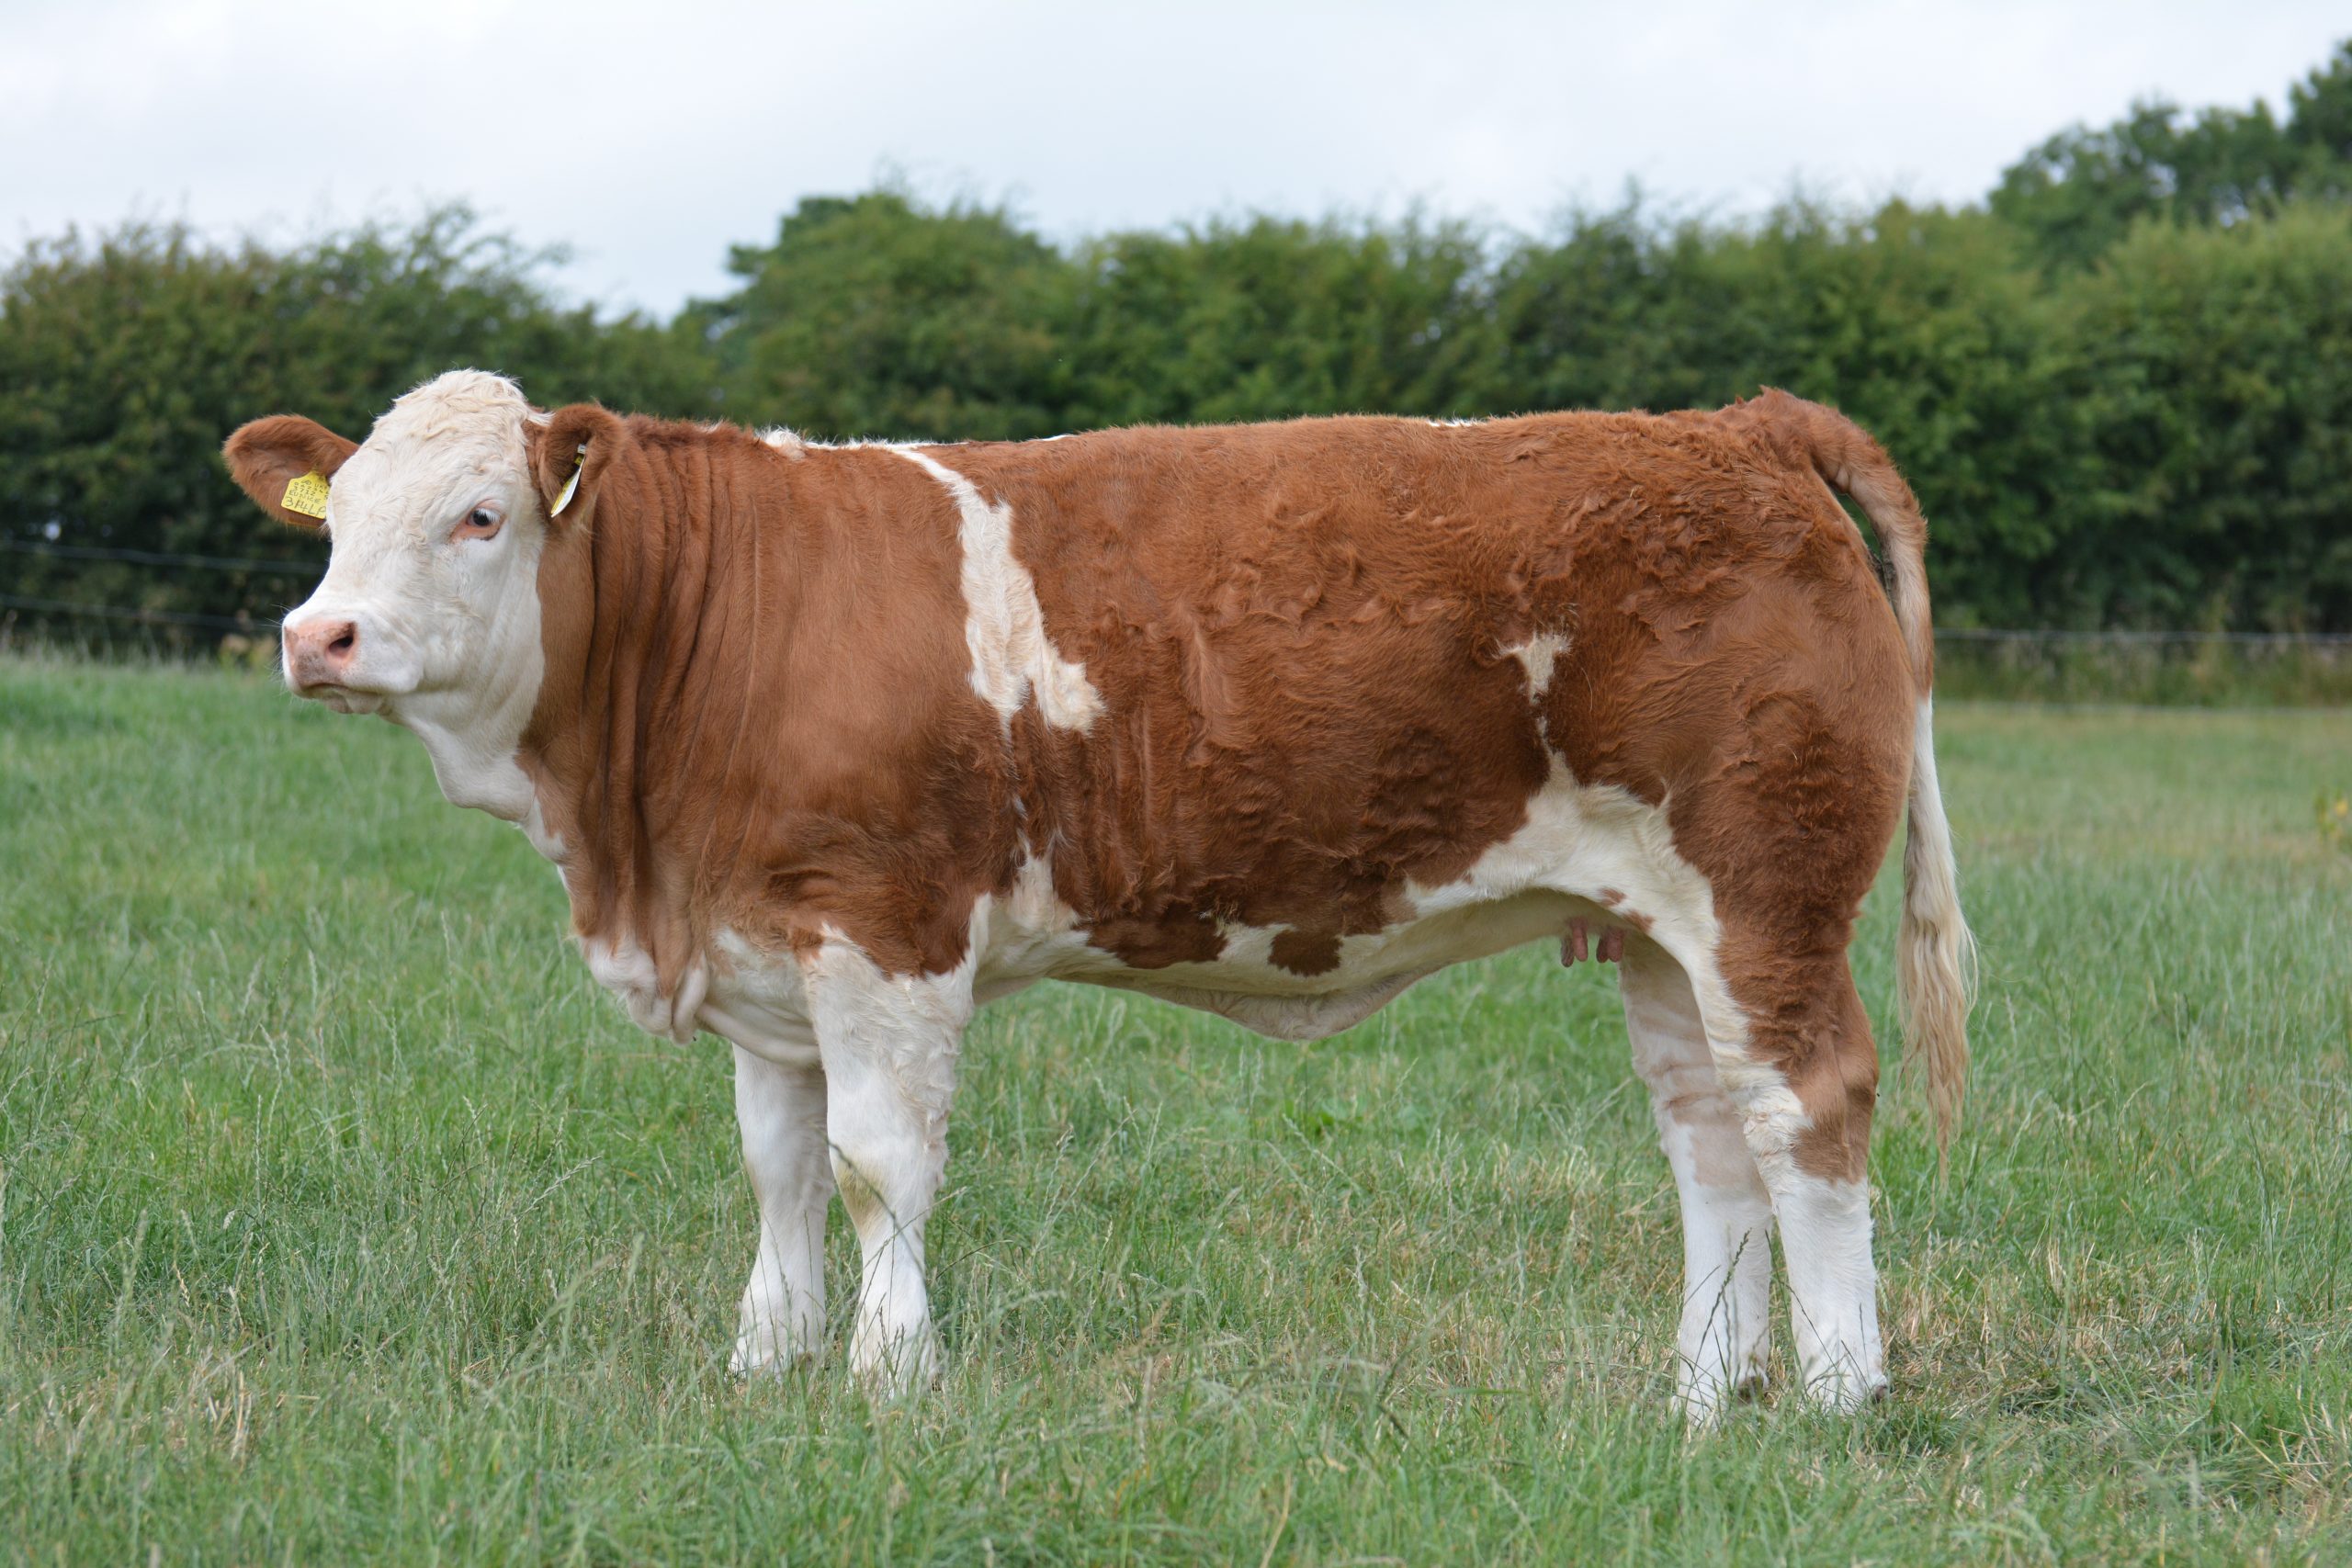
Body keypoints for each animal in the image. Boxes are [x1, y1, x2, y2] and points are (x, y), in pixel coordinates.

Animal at [224, 371, 1972, 1422]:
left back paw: (1836, 1390)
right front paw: (766, 1360)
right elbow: (781, 1171)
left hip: (1766, 898)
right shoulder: (763, 948)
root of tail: (1739, 423)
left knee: (1810, 1108)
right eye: (342, 515)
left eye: (478, 514)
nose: (319, 637)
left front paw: (892, 1376)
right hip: (1662, 931)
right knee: (1714, 1143)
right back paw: (1698, 1396)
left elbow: (877, 1170)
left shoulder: (884, 925)